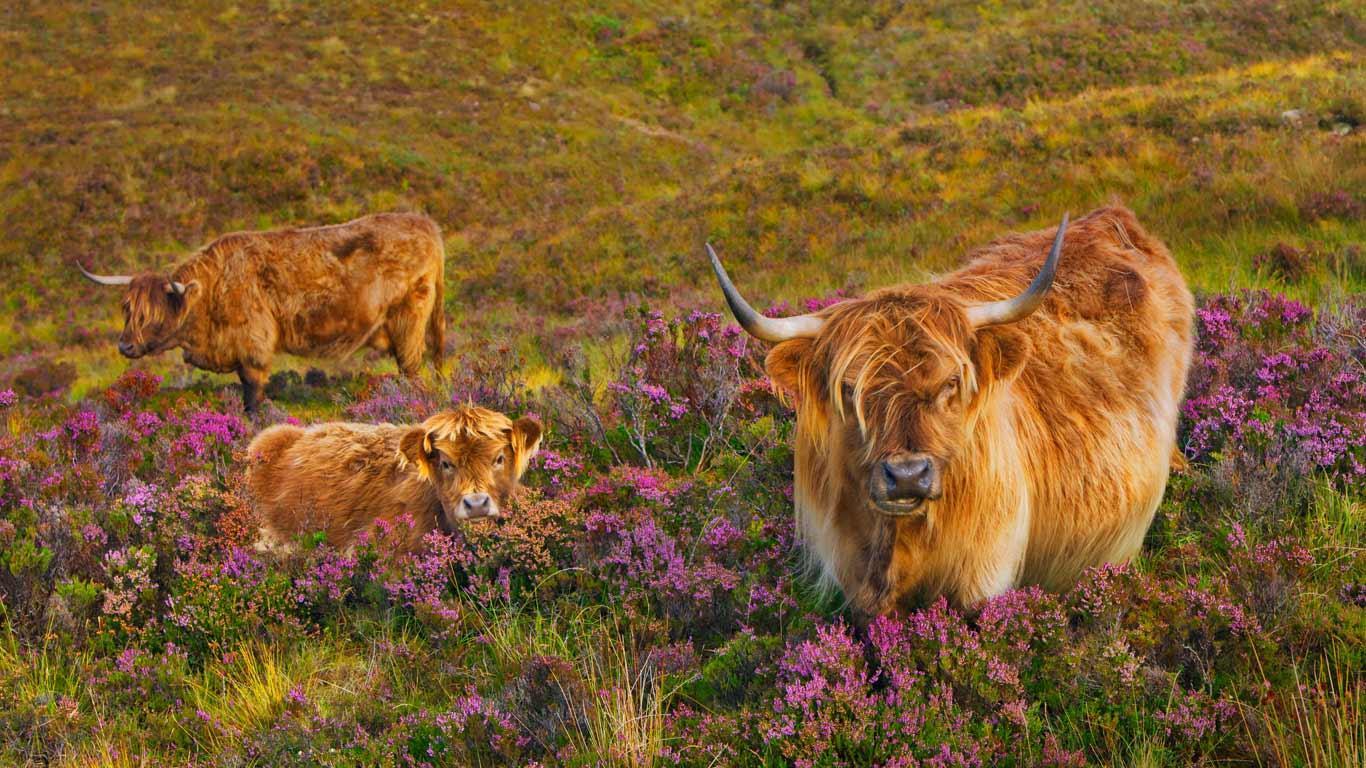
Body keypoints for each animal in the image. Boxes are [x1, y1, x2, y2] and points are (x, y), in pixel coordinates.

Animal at [79, 212, 446, 411]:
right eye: (127, 310)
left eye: (152, 315)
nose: (125, 345)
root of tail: (426, 224)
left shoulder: (252, 343)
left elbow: (252, 392)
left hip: (409, 320)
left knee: (412, 368)